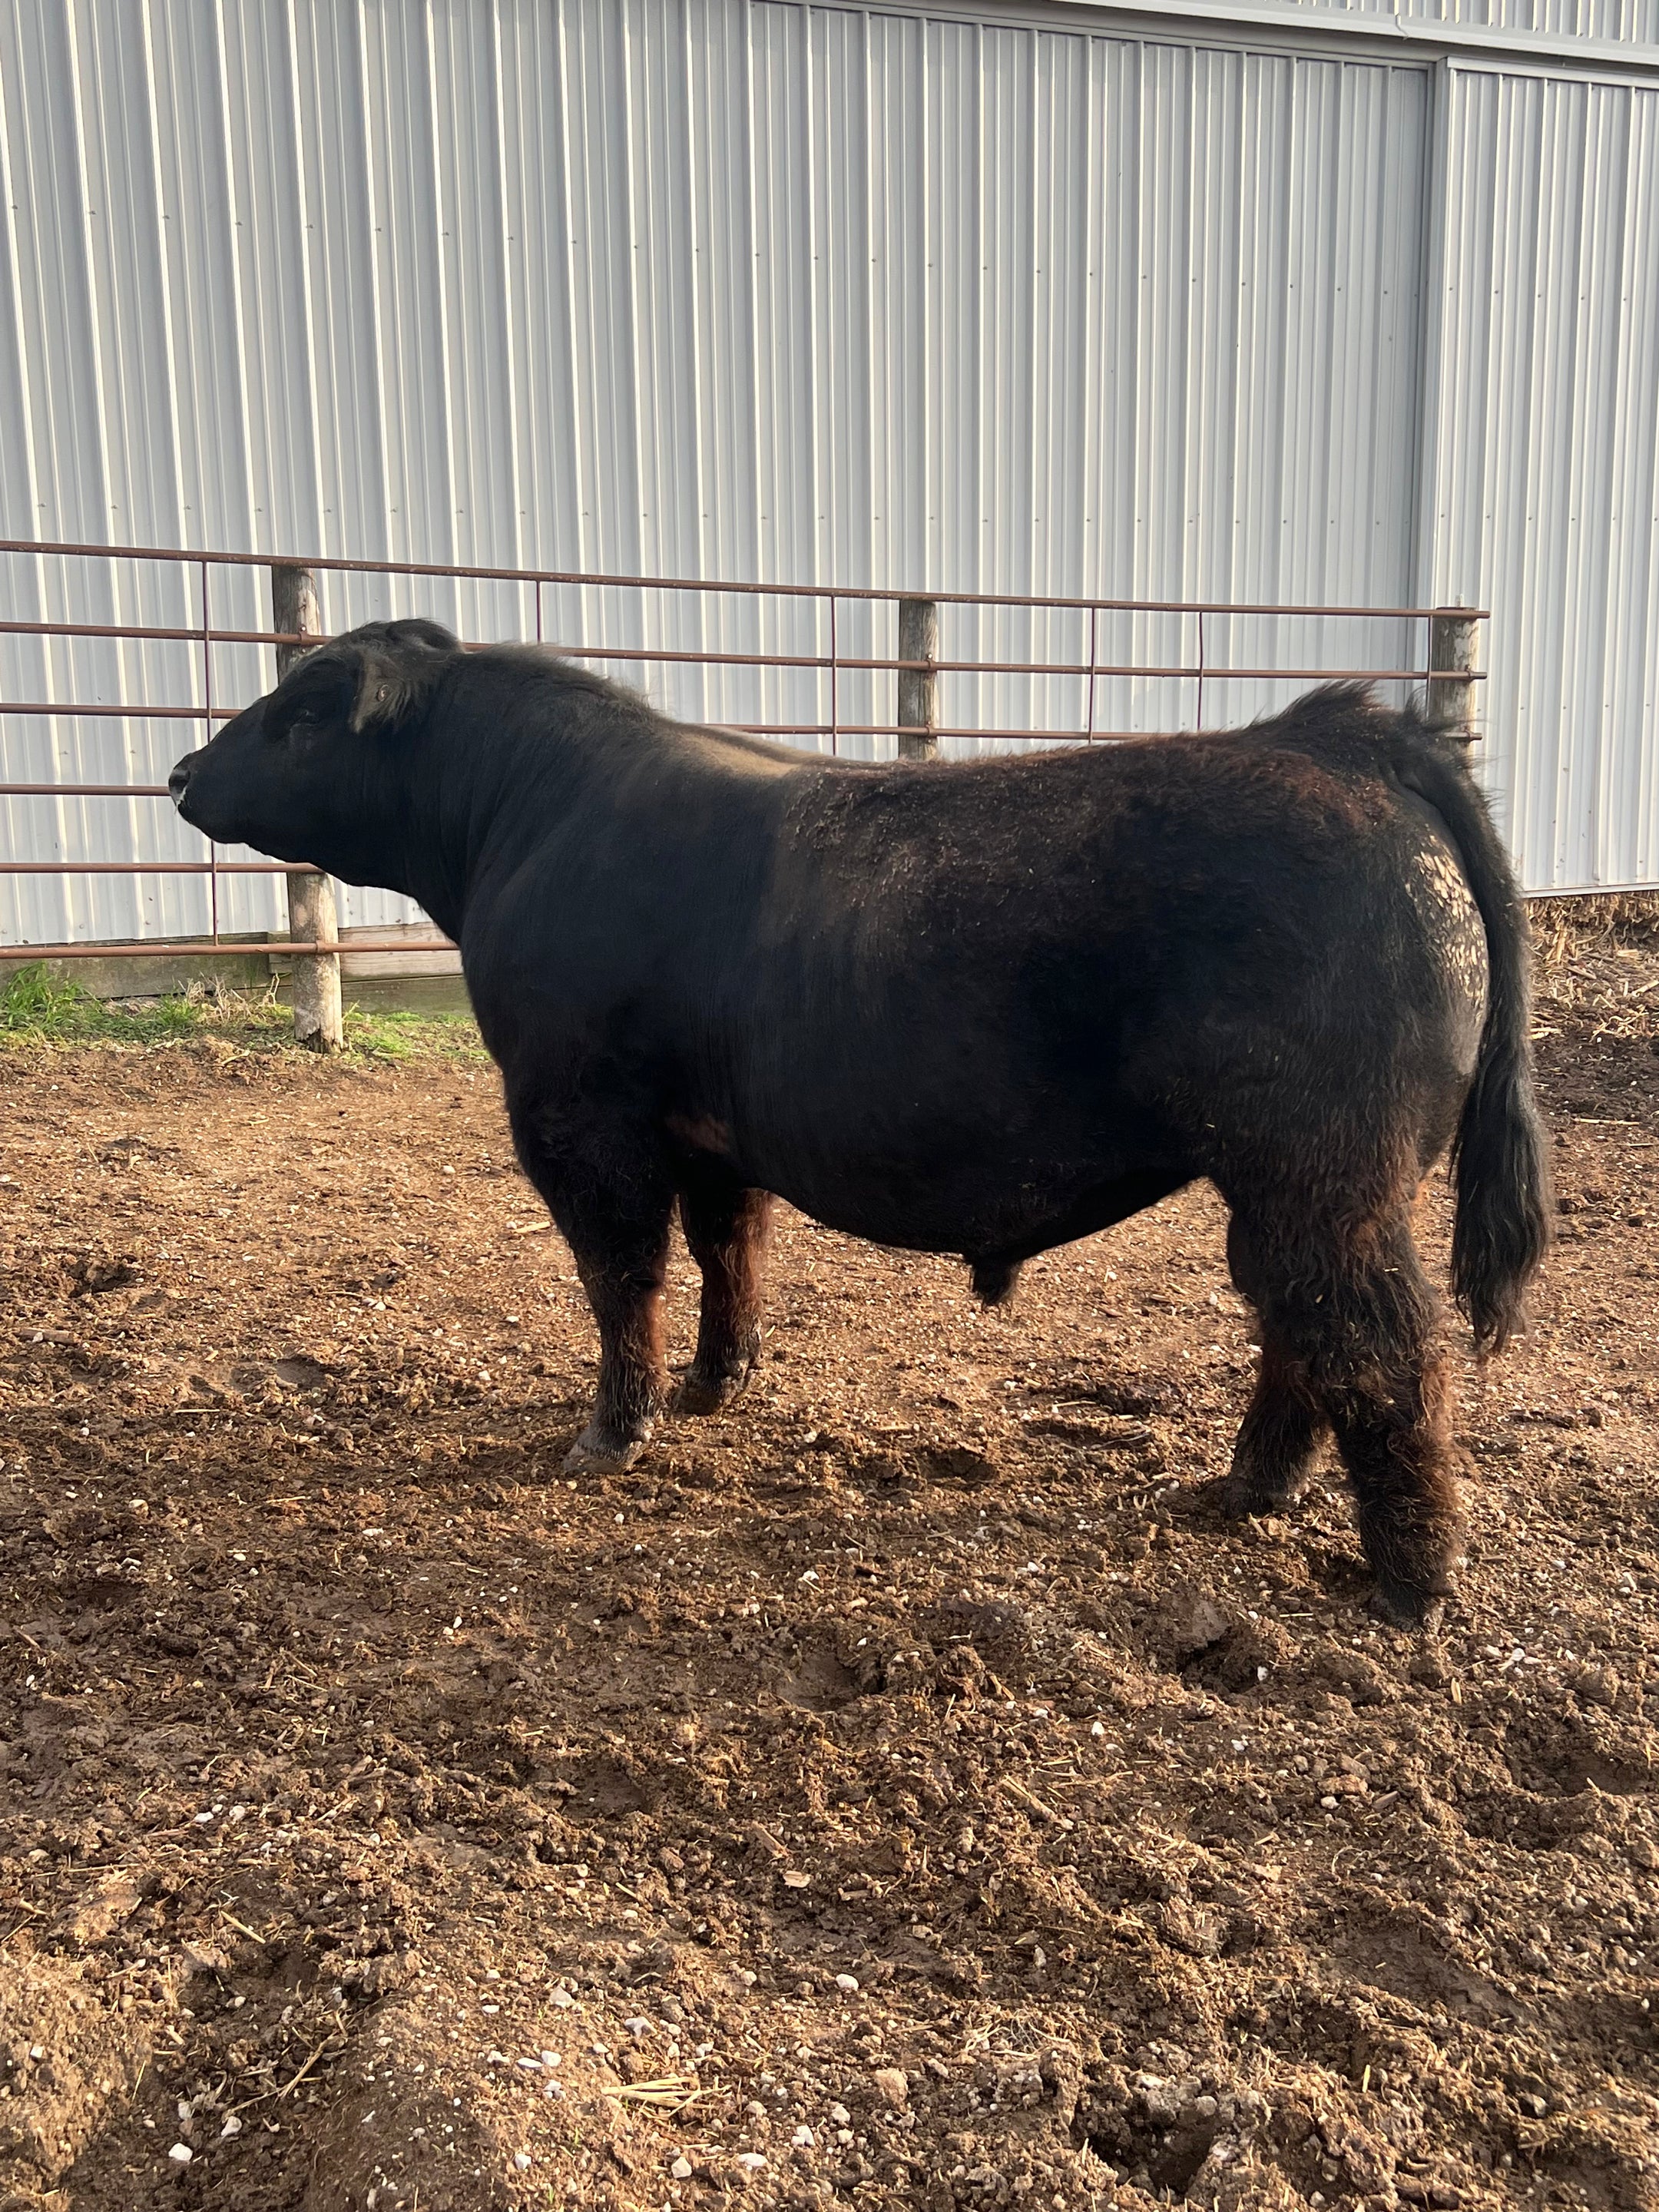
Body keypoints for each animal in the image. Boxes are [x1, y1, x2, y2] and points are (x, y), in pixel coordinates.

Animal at [170, 620, 1549, 1625]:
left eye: (301, 709)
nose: (181, 772)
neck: (527, 818)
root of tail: (1336, 740)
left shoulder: (576, 1115)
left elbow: (624, 1274)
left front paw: (612, 1431)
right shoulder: (708, 1132)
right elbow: (728, 1249)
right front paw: (717, 1385)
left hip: (1322, 1171)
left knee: (1377, 1347)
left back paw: (1407, 1585)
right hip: (1293, 1184)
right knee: (1300, 1331)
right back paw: (1244, 1492)